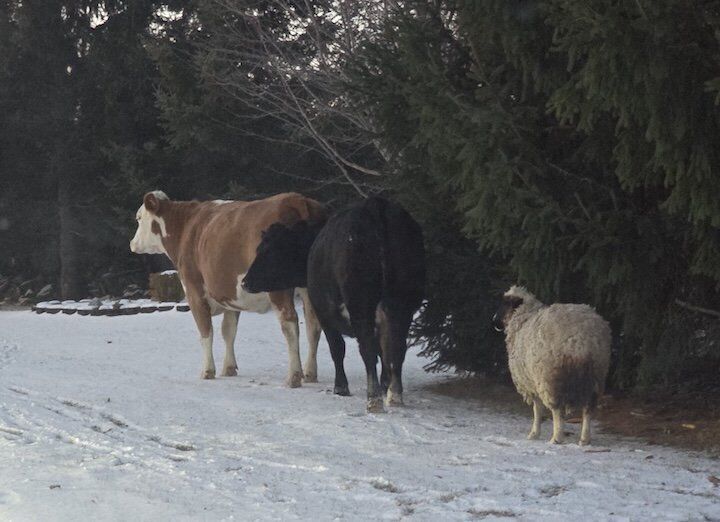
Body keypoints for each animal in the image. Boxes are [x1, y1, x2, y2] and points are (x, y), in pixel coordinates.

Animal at [129, 190, 326, 387]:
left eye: (139, 218)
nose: (132, 243)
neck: (186, 227)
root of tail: (296, 198)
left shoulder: (194, 290)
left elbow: (206, 332)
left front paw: (207, 371)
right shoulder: (231, 294)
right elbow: (228, 331)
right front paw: (229, 368)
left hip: (277, 284)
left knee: (290, 323)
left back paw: (293, 376)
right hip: (309, 287)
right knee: (313, 325)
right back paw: (310, 373)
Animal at [241, 197, 426, 412]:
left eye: (269, 251)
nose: (245, 282)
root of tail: (375, 205)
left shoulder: (323, 310)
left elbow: (337, 347)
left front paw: (341, 387)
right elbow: (384, 350)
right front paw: (385, 384)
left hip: (361, 305)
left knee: (368, 349)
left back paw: (373, 400)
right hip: (403, 305)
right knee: (397, 348)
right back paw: (394, 396)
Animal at [492, 286, 611, 445]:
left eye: (505, 303)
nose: (494, 321)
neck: (523, 318)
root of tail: (581, 341)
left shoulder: (531, 382)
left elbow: (537, 409)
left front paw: (534, 433)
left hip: (551, 377)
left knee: (557, 411)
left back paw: (556, 438)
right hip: (595, 376)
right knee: (588, 409)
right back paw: (584, 439)